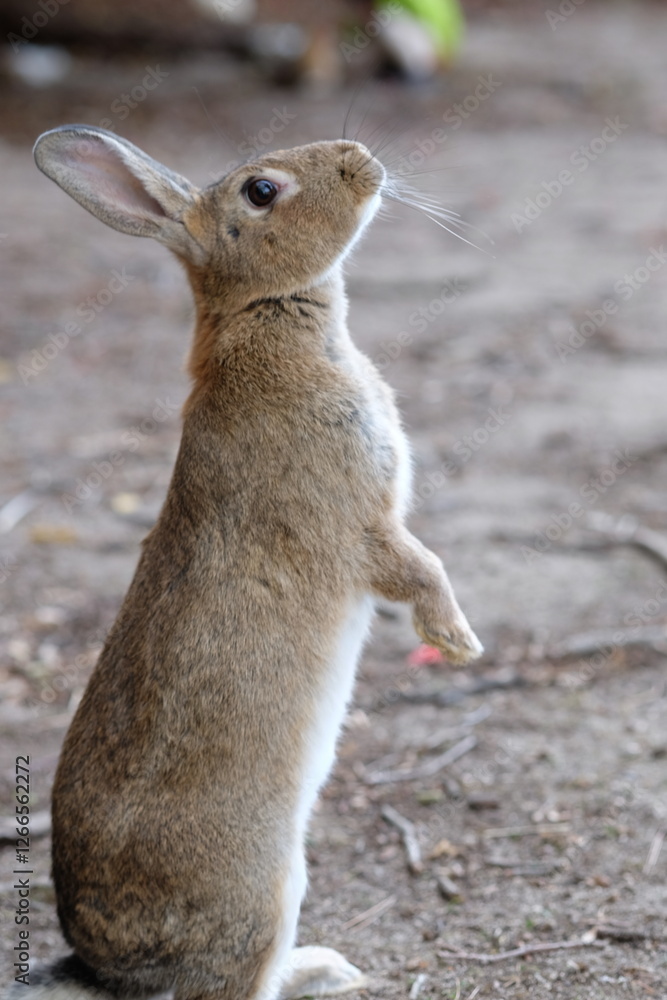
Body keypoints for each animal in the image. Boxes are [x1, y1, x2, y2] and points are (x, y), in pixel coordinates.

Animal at [19, 124, 483, 1000]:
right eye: (261, 192)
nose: (362, 157)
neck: (261, 313)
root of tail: (103, 963)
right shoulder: (359, 522)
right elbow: (417, 567)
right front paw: (458, 642)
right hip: (263, 889)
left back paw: (328, 965)